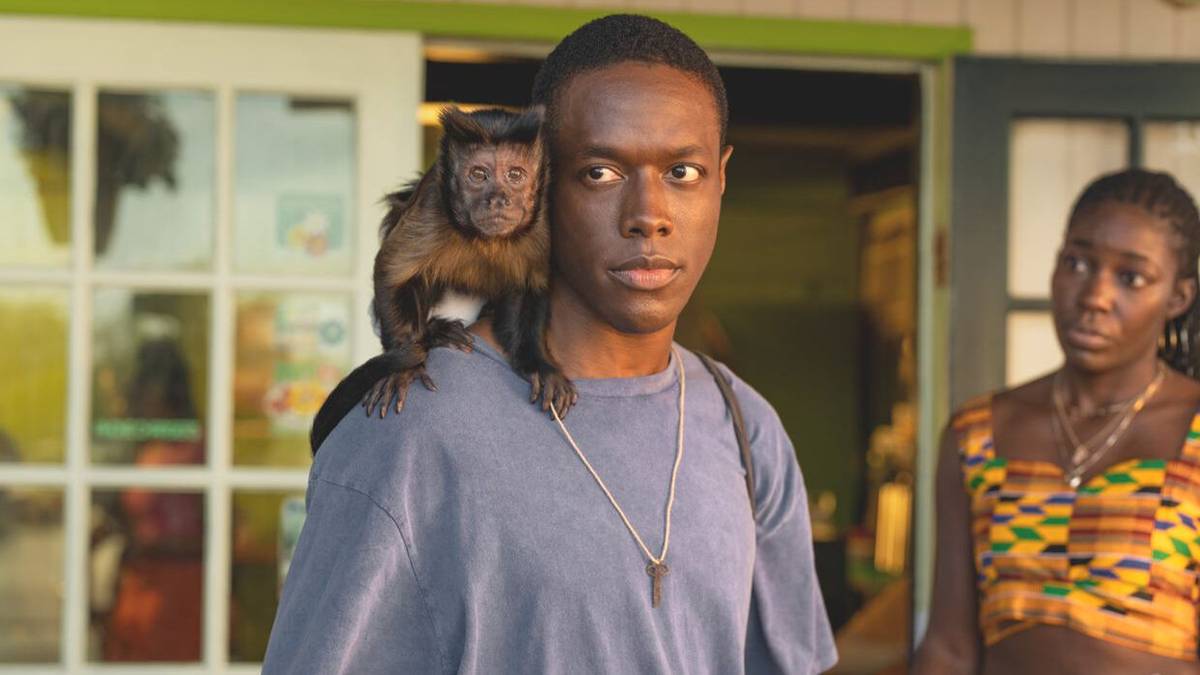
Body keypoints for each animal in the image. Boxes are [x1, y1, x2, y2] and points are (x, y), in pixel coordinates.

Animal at [309, 105, 576, 455]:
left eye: (515, 175)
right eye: (479, 175)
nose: (498, 198)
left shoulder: (542, 218)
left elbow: (531, 284)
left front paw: (537, 365)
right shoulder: (432, 203)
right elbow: (392, 272)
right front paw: (406, 366)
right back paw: (435, 333)